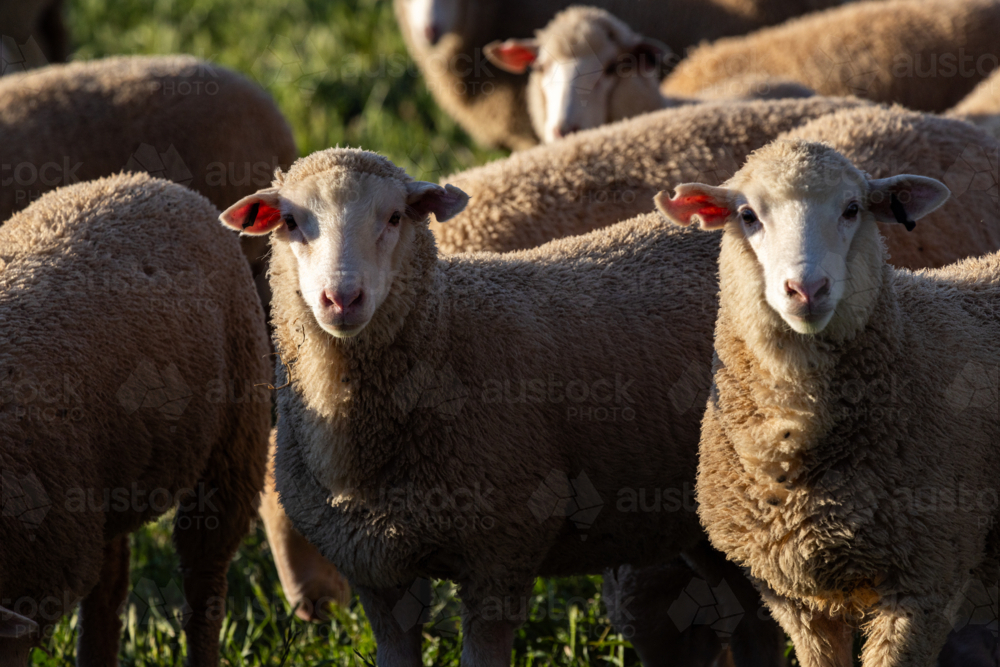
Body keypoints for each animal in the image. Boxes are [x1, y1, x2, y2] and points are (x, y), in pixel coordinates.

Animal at [0, 173, 270, 665]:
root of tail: (149, 181)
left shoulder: (32, 585)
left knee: (204, 582)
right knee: (109, 582)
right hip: (105, 476)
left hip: (234, 447)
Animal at [219, 147, 791, 667]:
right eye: (291, 221)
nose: (341, 299)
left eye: (395, 217)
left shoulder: (499, 554)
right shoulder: (378, 571)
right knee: (754, 624)